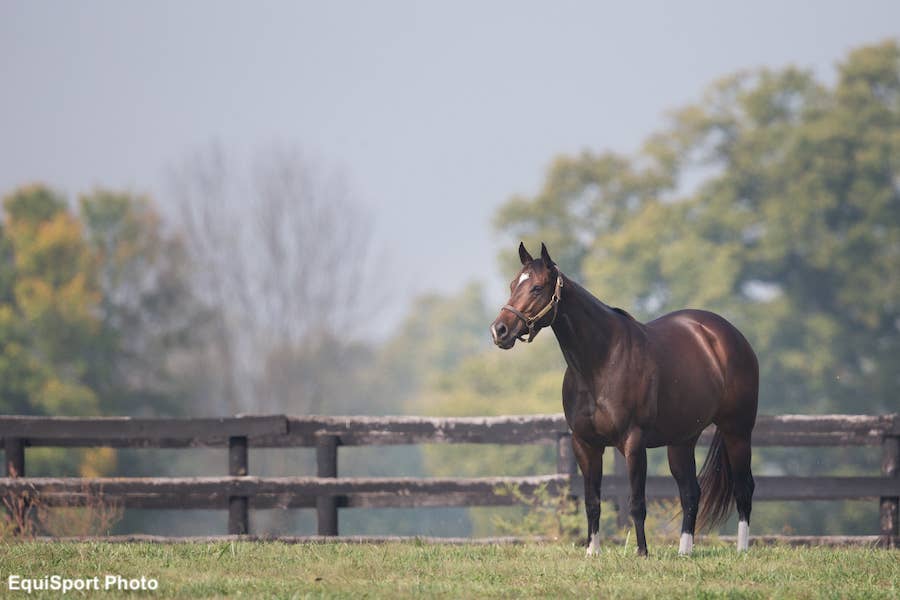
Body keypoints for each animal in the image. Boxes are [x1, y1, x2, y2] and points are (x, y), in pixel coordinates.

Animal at [490, 242, 758, 557]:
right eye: (512, 285)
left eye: (537, 287)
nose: (499, 330)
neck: (601, 362)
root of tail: (727, 335)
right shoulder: (585, 444)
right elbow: (592, 502)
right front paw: (592, 552)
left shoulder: (633, 443)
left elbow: (636, 502)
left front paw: (642, 553)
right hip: (682, 441)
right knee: (691, 492)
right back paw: (684, 552)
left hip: (737, 431)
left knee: (743, 488)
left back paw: (742, 550)